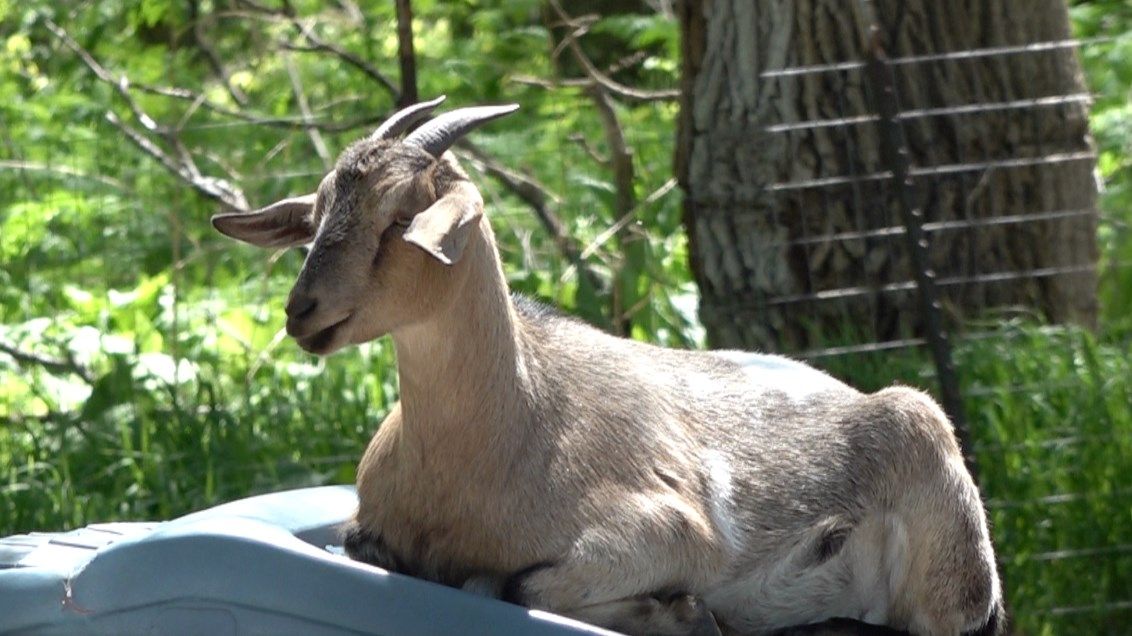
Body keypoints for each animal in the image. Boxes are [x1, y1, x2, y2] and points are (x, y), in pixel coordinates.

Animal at [211, 97, 1004, 636]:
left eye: (403, 215)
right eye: (317, 214)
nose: (302, 311)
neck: (511, 432)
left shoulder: (669, 529)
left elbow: (520, 588)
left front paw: (684, 612)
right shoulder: (369, 527)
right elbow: (367, 545)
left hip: (940, 523)